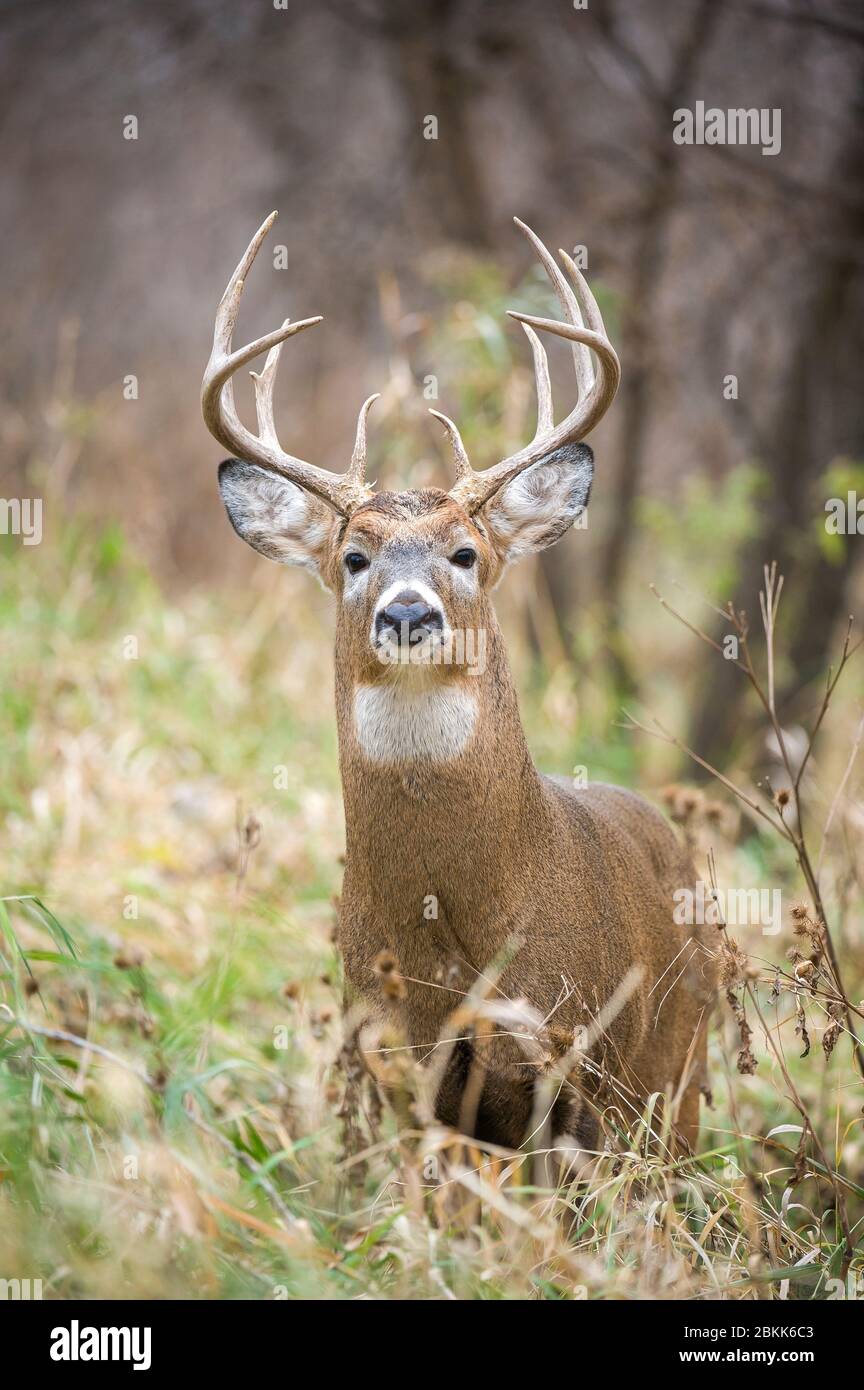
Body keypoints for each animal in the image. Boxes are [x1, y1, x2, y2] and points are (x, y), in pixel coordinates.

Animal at [201, 212, 715, 1160]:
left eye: (466, 552)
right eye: (353, 556)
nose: (408, 612)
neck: (449, 935)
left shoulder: (572, 1065)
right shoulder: (393, 1069)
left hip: (679, 1077)